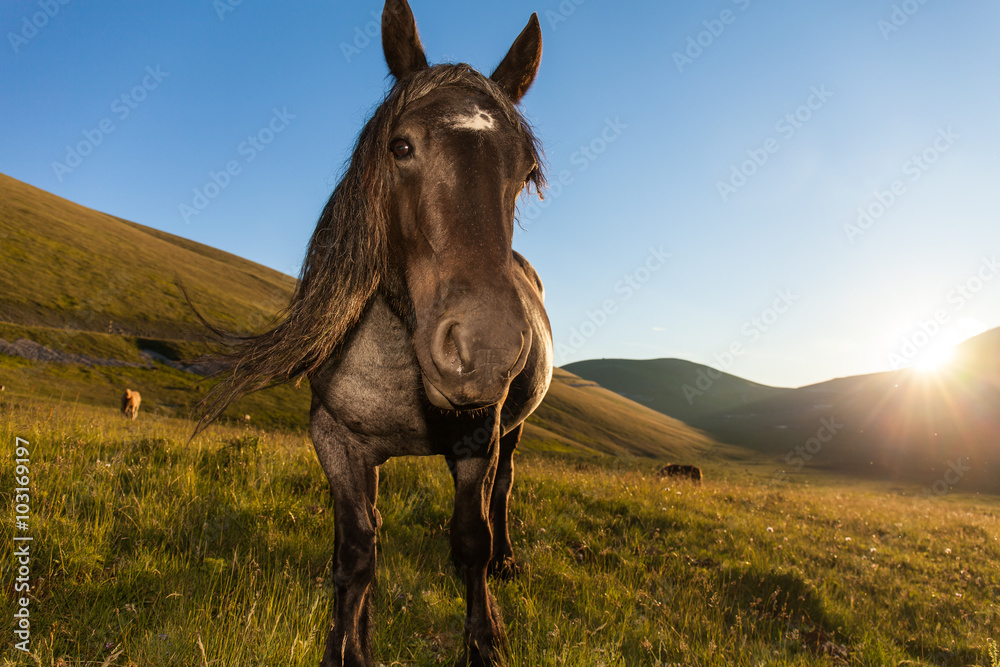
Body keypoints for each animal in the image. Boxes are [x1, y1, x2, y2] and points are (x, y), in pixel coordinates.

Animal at [193, 1, 551, 664]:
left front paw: (483, 638)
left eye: (526, 171)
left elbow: (473, 538)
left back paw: (508, 559)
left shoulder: (478, 436)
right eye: (400, 146)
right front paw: (348, 645)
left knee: (503, 493)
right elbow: (357, 551)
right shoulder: (334, 439)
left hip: (511, 432)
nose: (484, 347)